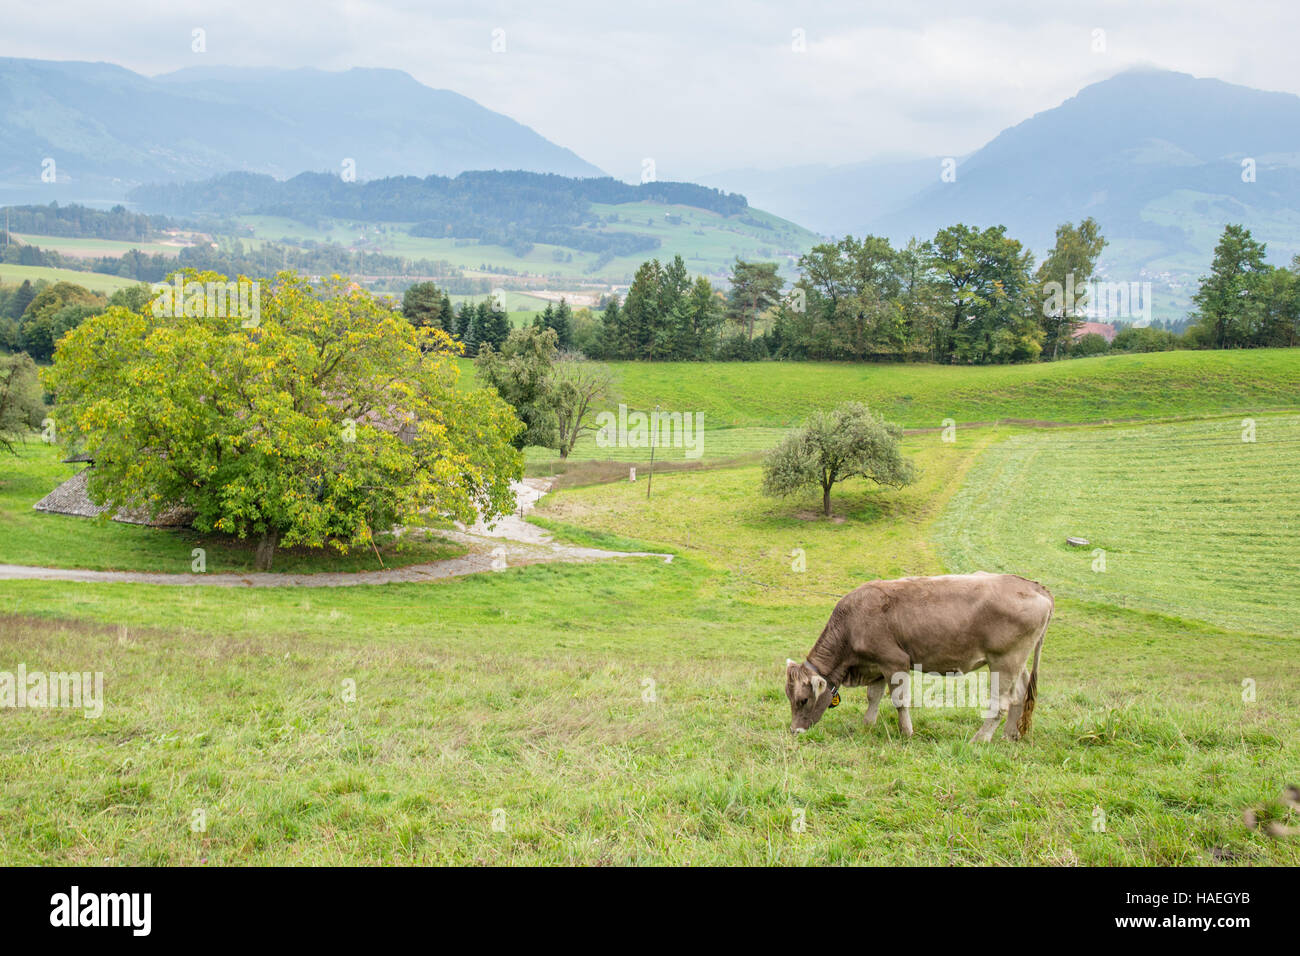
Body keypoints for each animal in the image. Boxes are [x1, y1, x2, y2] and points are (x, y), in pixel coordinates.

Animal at [784, 572, 1053, 743]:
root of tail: (1032, 585)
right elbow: (873, 696)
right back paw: (1010, 735)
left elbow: (899, 700)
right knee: (1019, 694)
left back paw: (980, 739)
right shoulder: (876, 666)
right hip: (1018, 662)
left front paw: (907, 732)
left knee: (1001, 703)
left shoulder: (895, 661)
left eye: (803, 700)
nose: (794, 731)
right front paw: (867, 725)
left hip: (1005, 661)